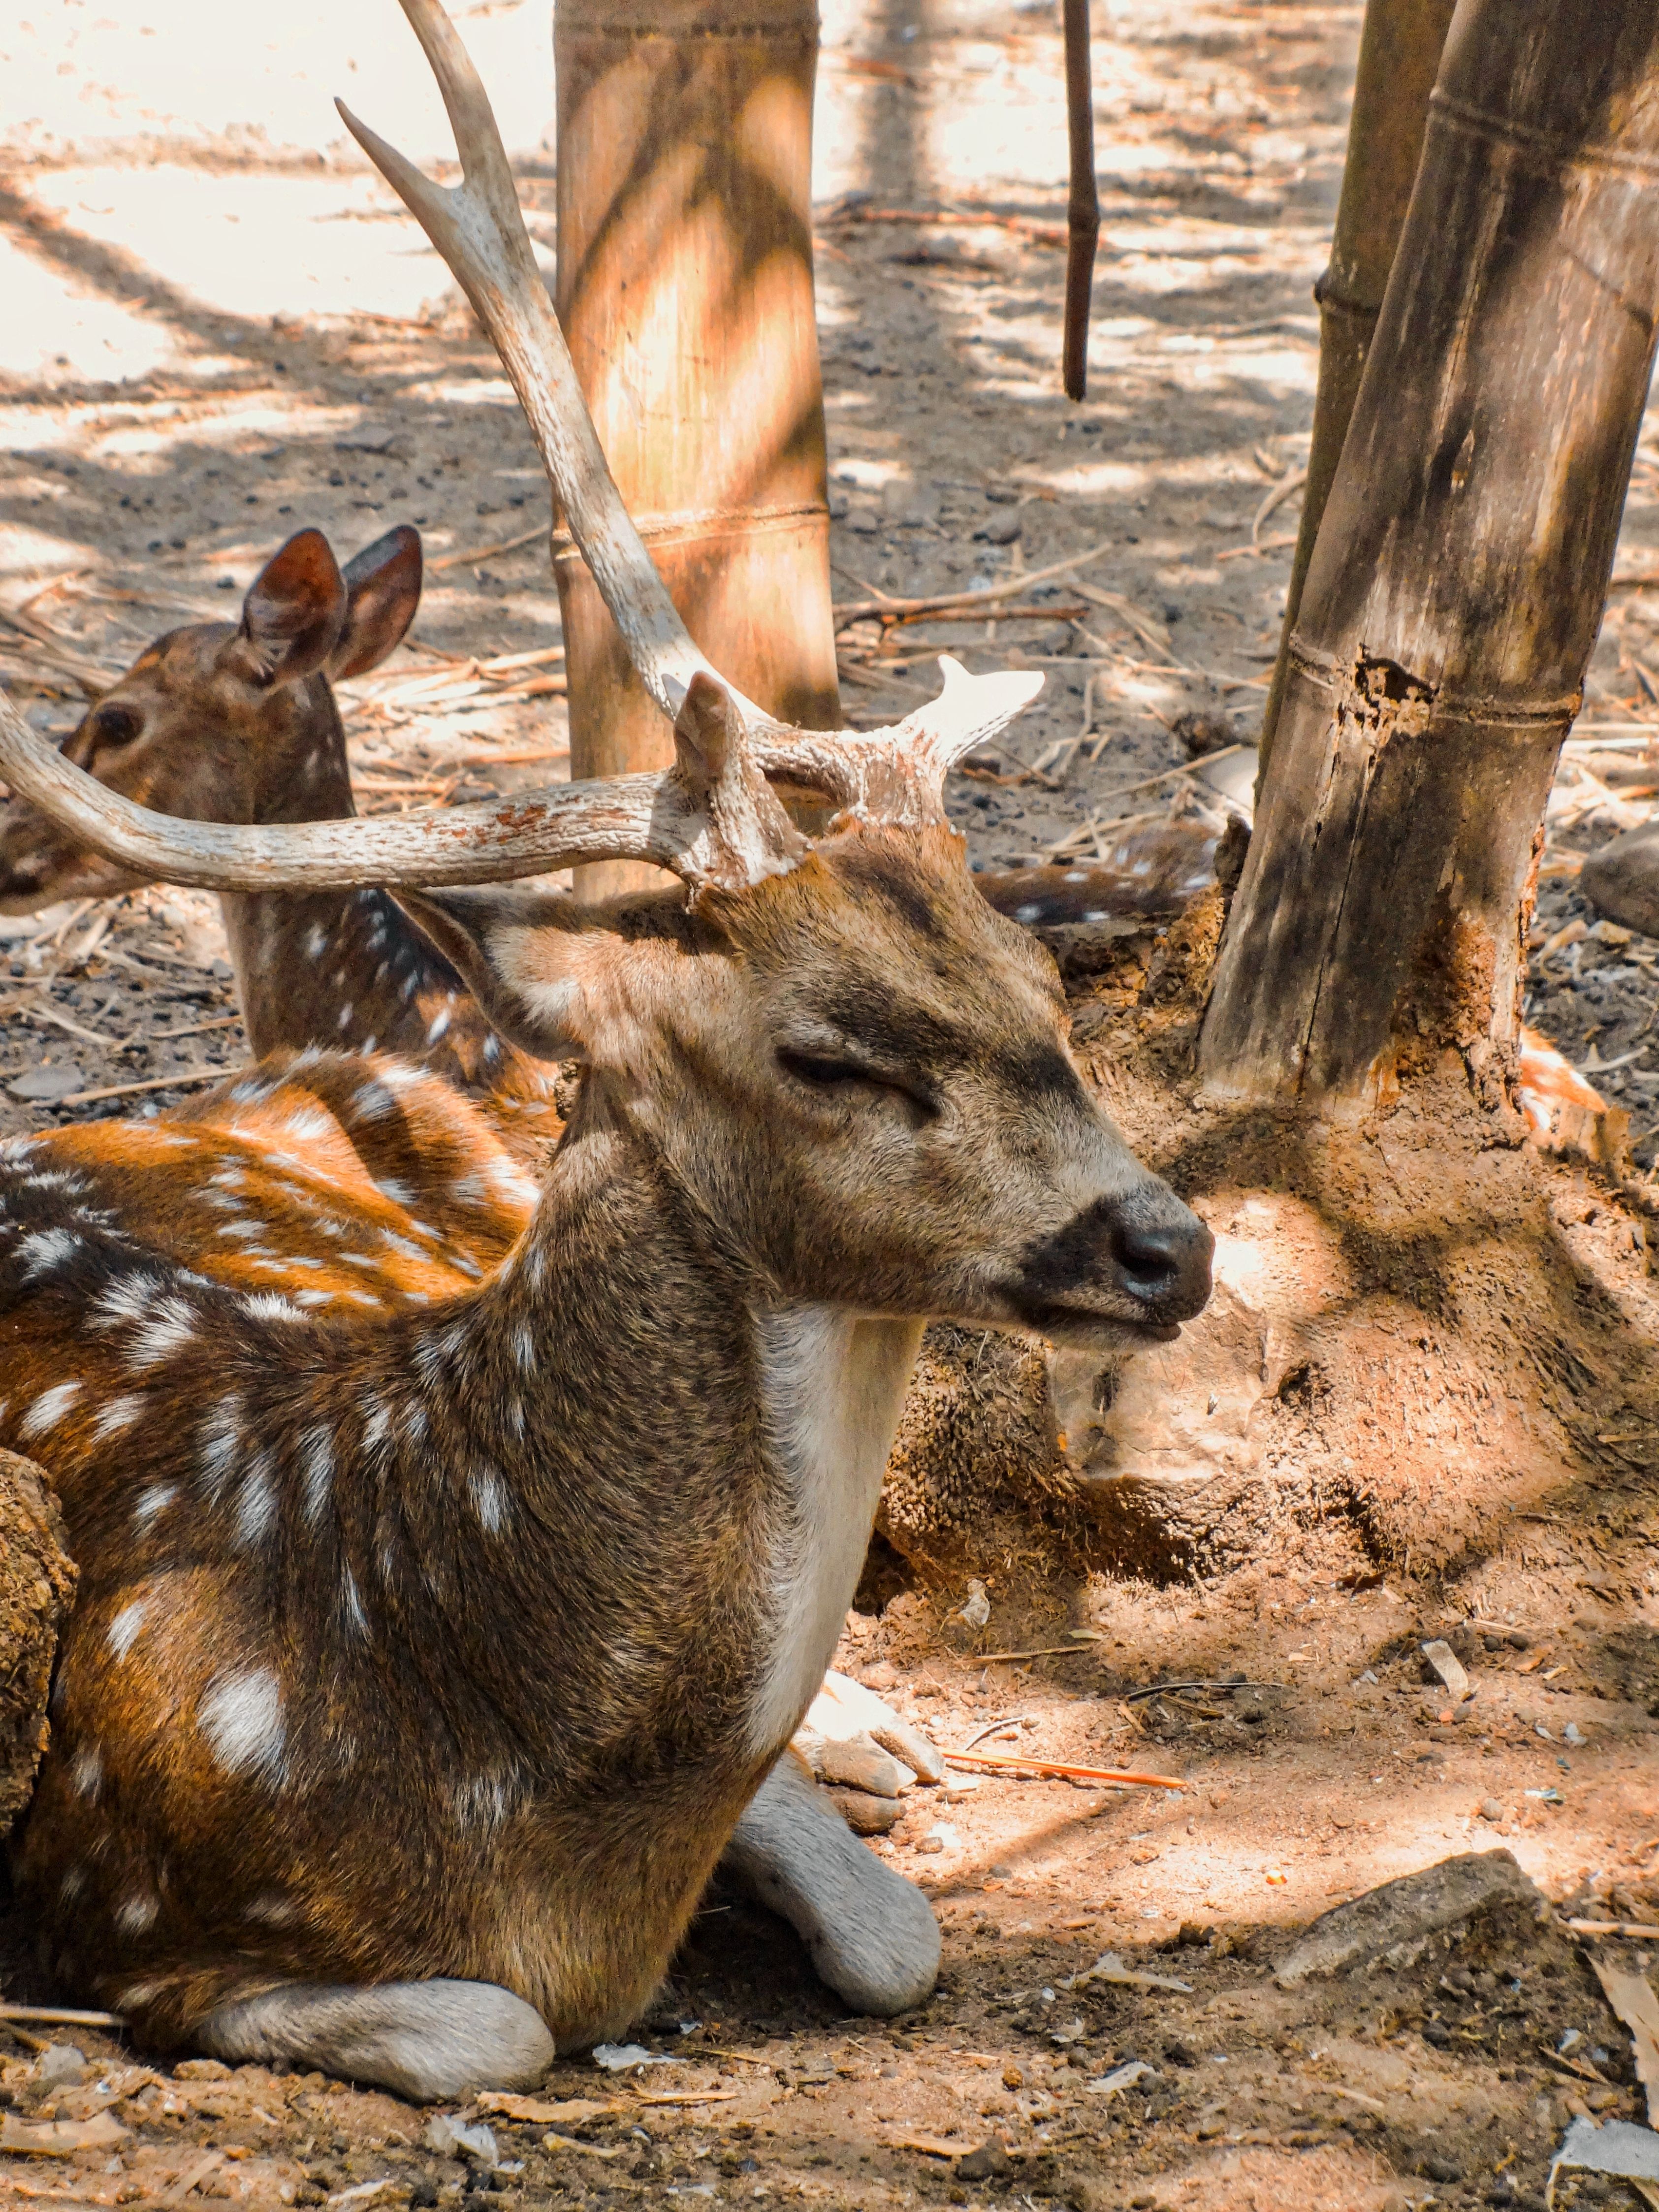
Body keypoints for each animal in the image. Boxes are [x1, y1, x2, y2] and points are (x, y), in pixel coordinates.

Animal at [0, 0, 1213, 2104]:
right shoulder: (114, 1896)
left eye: (1036, 989)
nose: (1168, 1243)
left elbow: (898, 1935)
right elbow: (485, 2025)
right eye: (830, 1054)